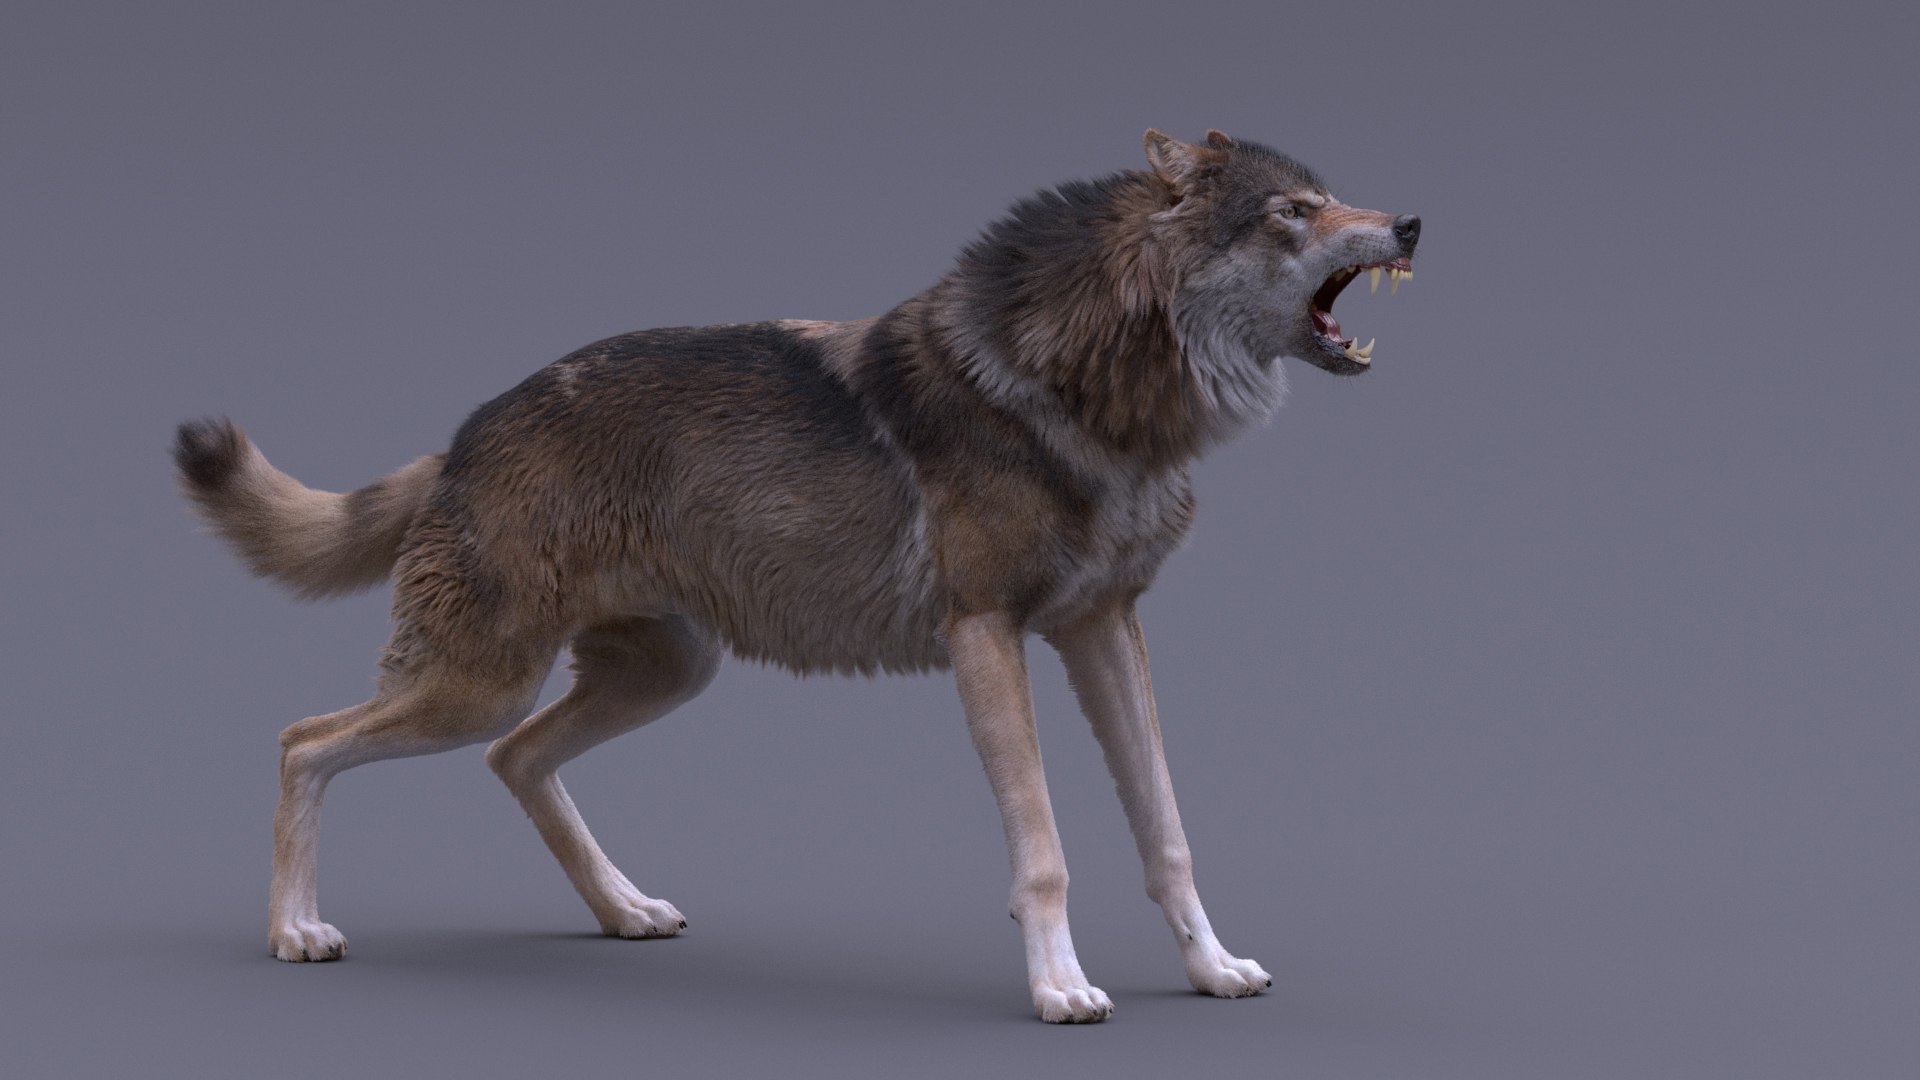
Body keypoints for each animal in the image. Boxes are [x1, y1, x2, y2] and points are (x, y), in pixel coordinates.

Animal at [173, 129, 1419, 1023]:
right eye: (1293, 212)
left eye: (1333, 193)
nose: (1411, 217)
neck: (1092, 399)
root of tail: (462, 434)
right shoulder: (986, 633)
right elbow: (1047, 851)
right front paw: (1060, 990)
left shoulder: (1105, 625)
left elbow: (1167, 831)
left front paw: (1212, 971)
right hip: (484, 683)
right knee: (305, 741)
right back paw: (297, 932)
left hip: (655, 679)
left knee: (512, 759)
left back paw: (624, 910)